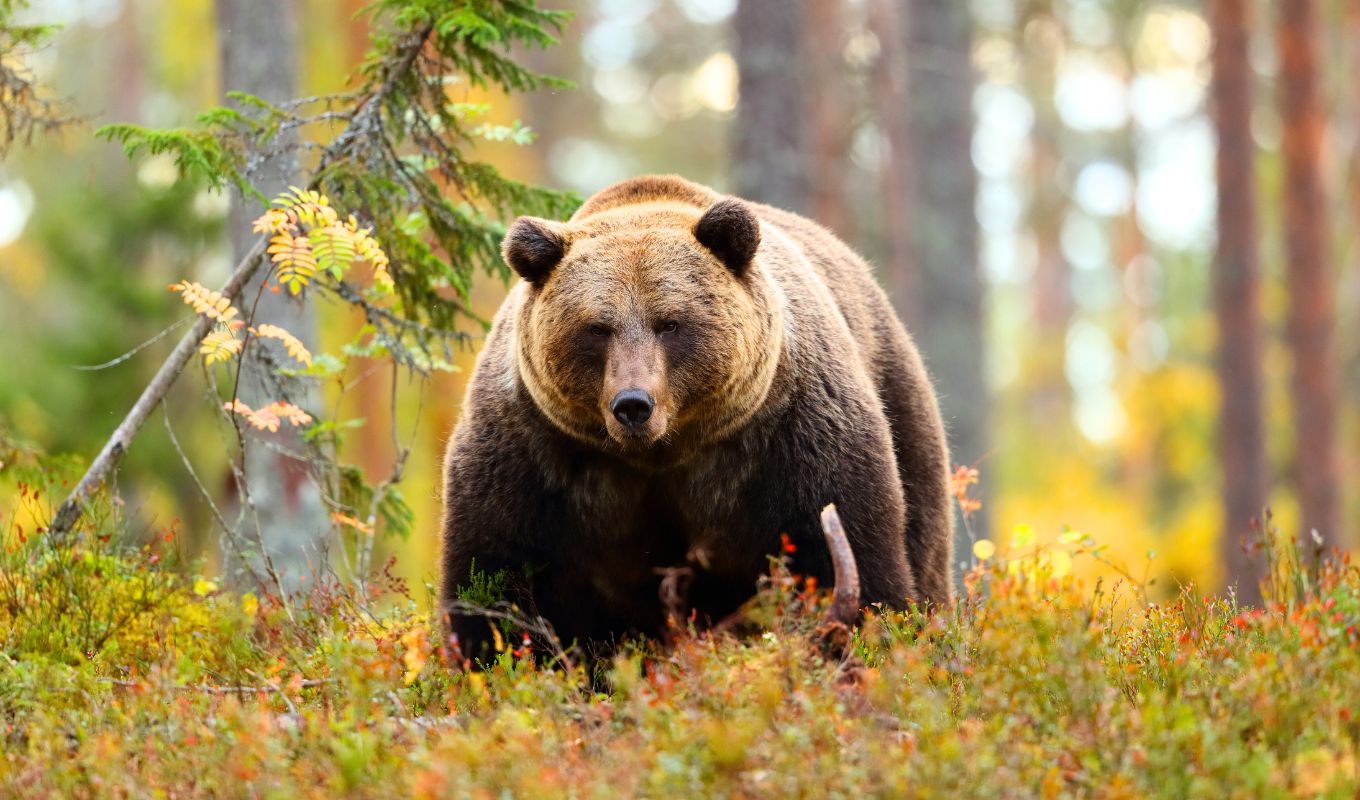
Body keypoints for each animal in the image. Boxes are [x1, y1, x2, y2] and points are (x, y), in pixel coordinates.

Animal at [440, 174, 953, 661]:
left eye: (669, 322)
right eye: (597, 328)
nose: (633, 404)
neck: (663, 452)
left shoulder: (792, 434)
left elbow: (851, 554)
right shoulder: (534, 454)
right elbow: (494, 576)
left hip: (900, 402)